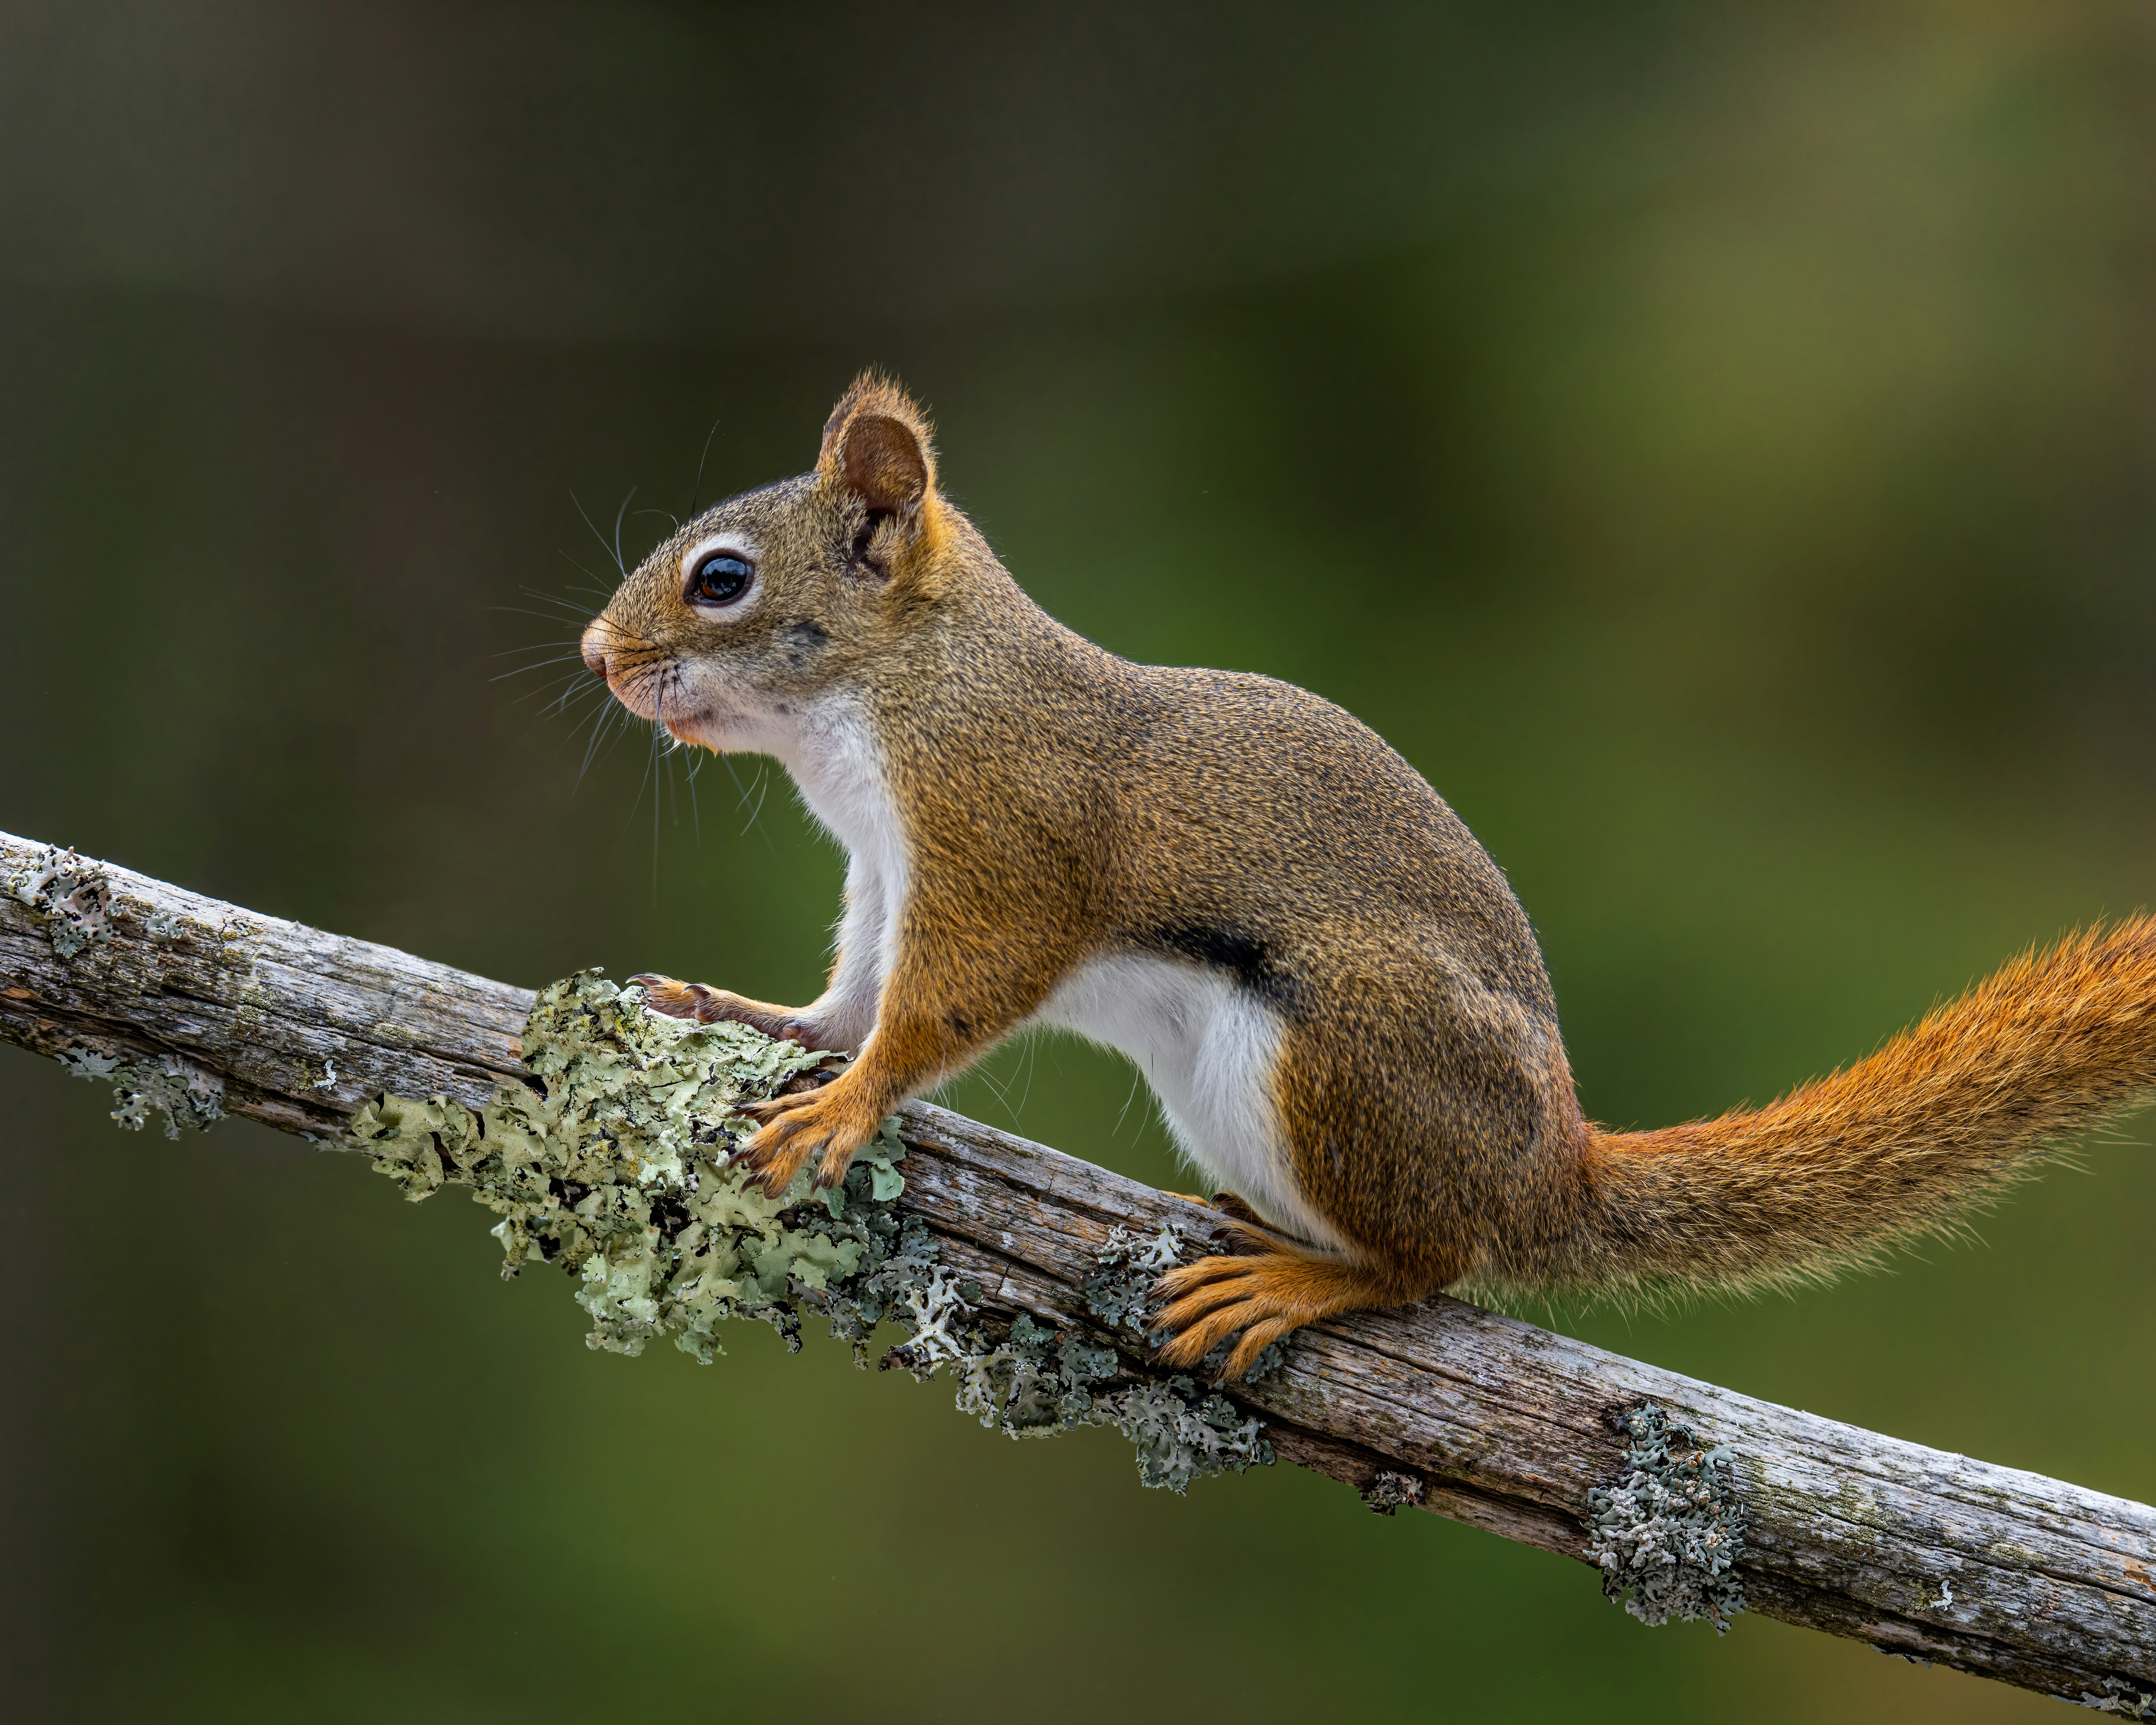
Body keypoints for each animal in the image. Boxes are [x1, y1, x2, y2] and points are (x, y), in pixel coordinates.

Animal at [579, 372, 2156, 1379]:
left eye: (721, 580)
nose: (597, 657)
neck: (896, 691)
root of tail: (1551, 1173)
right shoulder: (880, 875)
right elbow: (851, 992)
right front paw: (752, 1018)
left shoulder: (1002, 845)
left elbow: (939, 1008)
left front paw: (844, 1107)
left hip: (1341, 1050)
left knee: (1429, 1268)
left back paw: (1300, 1276)